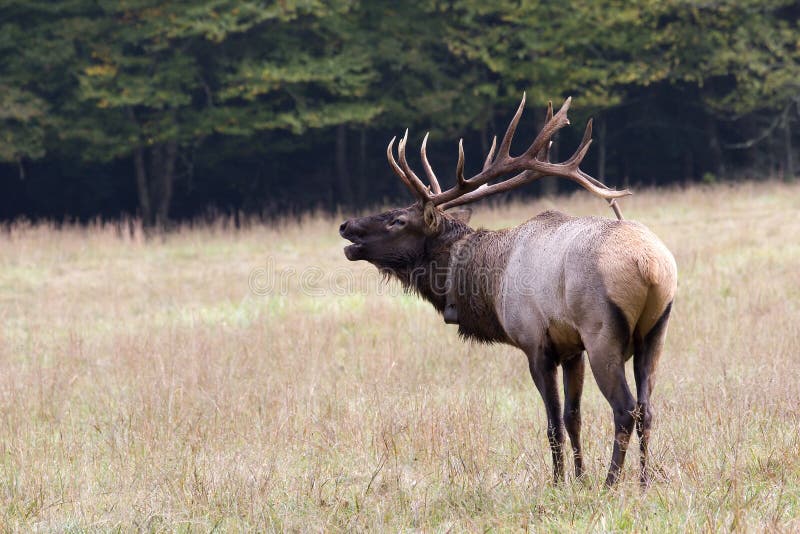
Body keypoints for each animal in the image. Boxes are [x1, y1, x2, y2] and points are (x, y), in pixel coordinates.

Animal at [339, 93, 677, 488]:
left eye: (398, 220)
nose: (346, 226)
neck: (490, 284)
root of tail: (651, 266)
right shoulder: (571, 348)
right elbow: (573, 418)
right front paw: (579, 479)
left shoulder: (535, 343)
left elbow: (552, 424)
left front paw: (559, 484)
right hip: (655, 331)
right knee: (647, 409)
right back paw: (643, 482)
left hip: (601, 332)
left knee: (625, 409)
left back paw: (611, 483)